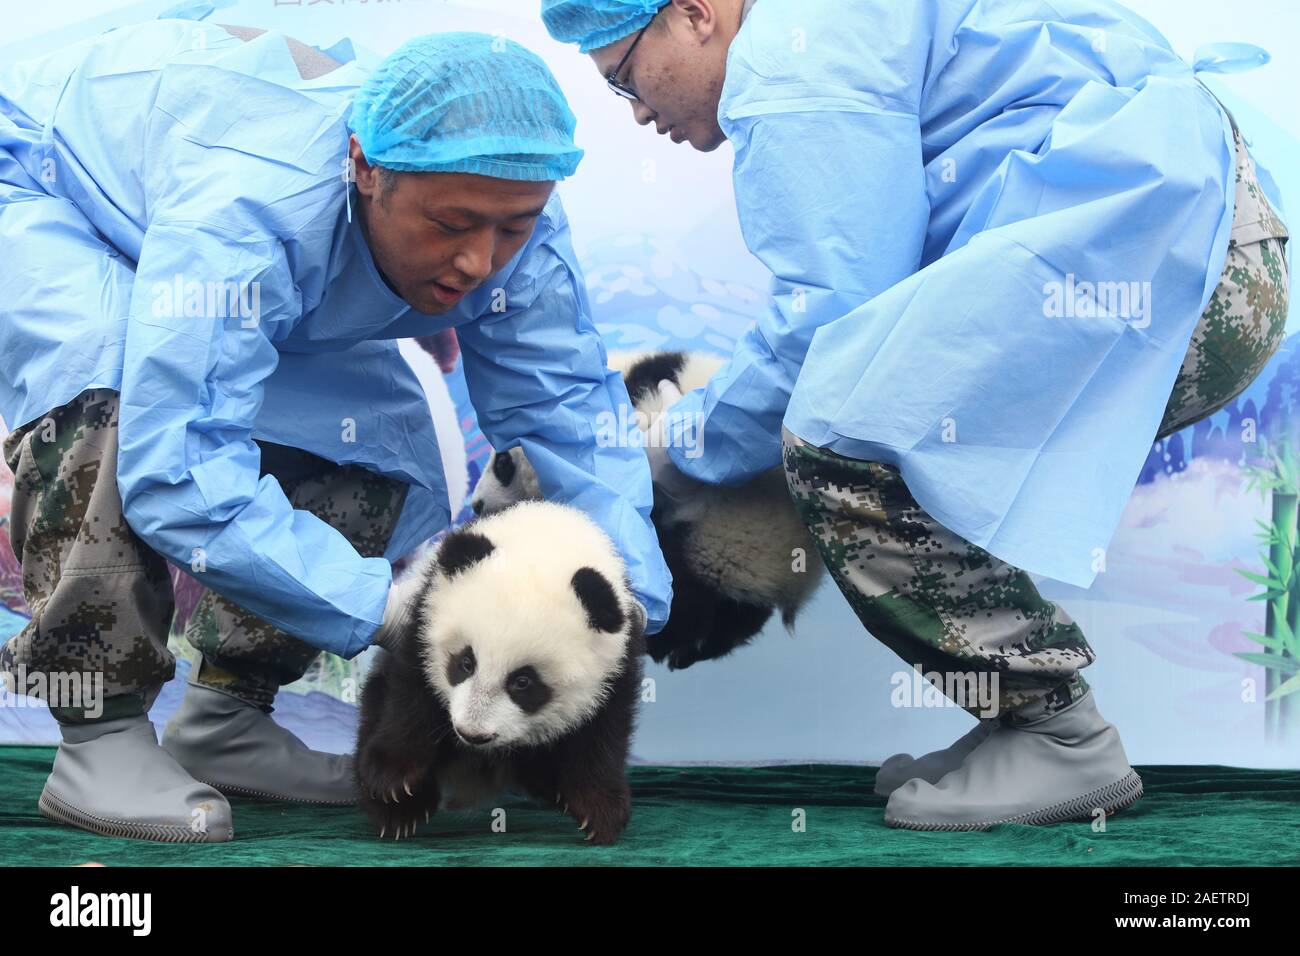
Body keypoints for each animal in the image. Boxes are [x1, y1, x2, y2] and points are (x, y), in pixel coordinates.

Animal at [356, 501, 645, 845]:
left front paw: (600, 810)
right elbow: (410, 694)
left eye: (523, 681)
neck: (549, 535)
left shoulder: (617, 658)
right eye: (465, 663)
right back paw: (399, 813)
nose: (471, 734)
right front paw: (393, 782)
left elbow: (604, 729)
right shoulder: (423, 617)